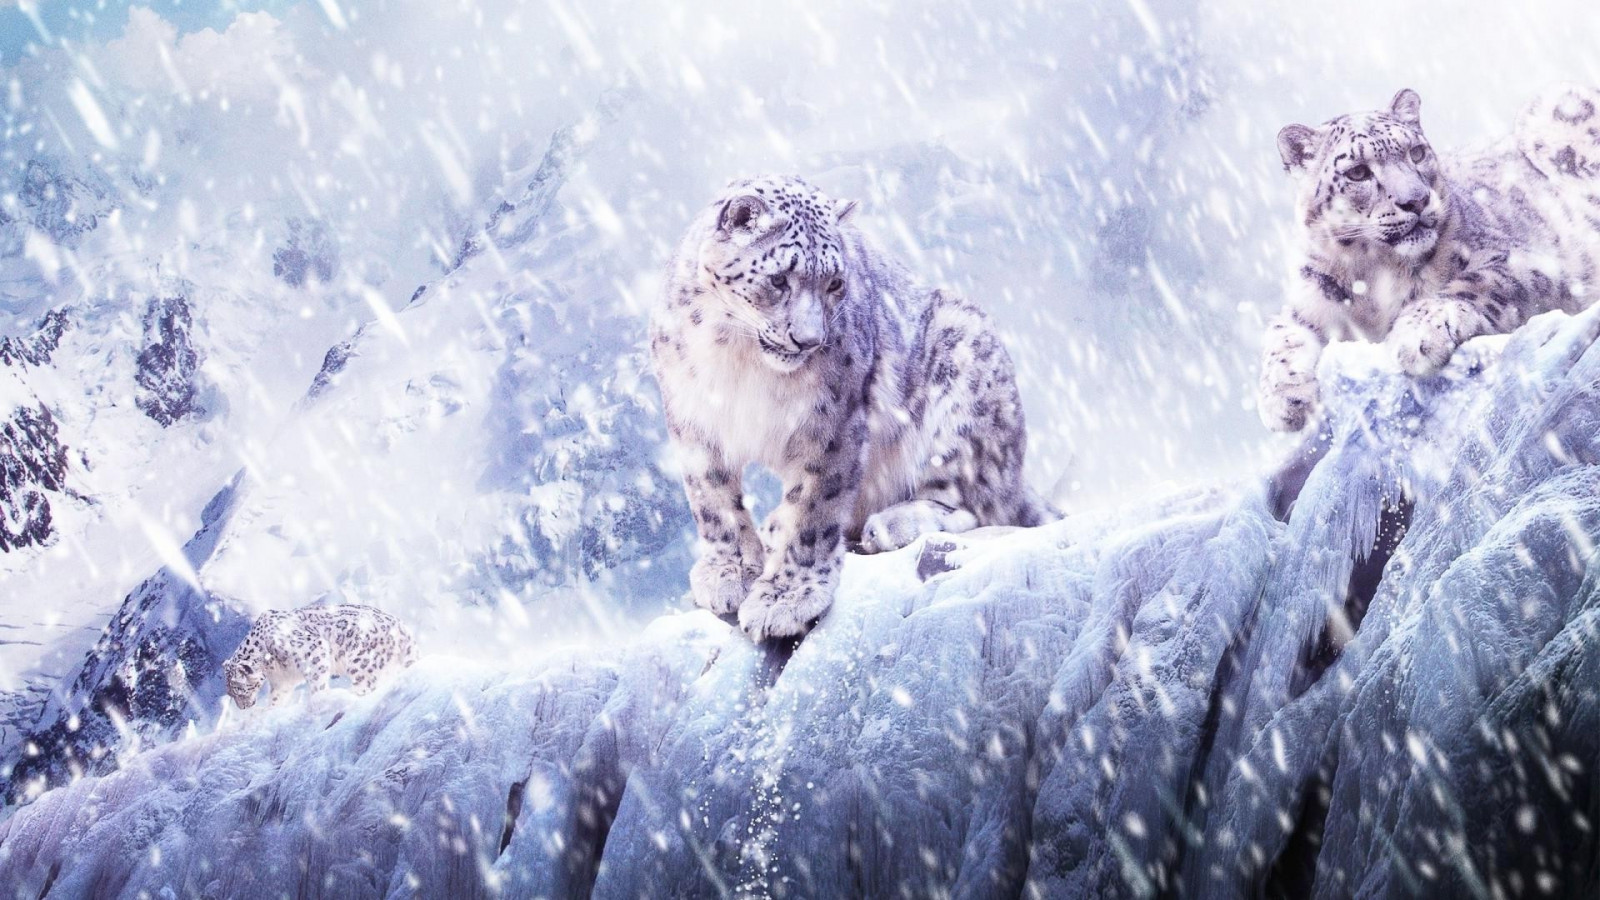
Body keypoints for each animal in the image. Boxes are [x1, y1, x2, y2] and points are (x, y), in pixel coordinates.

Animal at [222, 604, 417, 709]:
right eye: (230, 692)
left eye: (239, 689)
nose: (243, 707)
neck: (270, 667)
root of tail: (403, 628)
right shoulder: (282, 680)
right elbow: (277, 697)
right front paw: (268, 711)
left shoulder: (312, 649)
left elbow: (317, 681)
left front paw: (319, 698)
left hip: (361, 660)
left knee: (367, 683)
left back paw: (350, 693)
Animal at [651, 175, 1053, 641]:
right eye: (779, 279)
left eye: (835, 283)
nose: (808, 339)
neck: (738, 356)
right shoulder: (693, 418)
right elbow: (712, 499)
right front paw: (729, 572)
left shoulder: (833, 421)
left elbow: (814, 510)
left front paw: (786, 598)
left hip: (962, 383)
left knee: (976, 503)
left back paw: (889, 524)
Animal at [1259, 84, 1600, 432]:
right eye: (1357, 172)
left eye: (1417, 153)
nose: (1416, 200)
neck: (1373, 273)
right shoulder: (1311, 297)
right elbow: (1281, 335)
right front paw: (1283, 399)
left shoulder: (1524, 259)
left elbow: (1475, 282)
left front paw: (1418, 335)